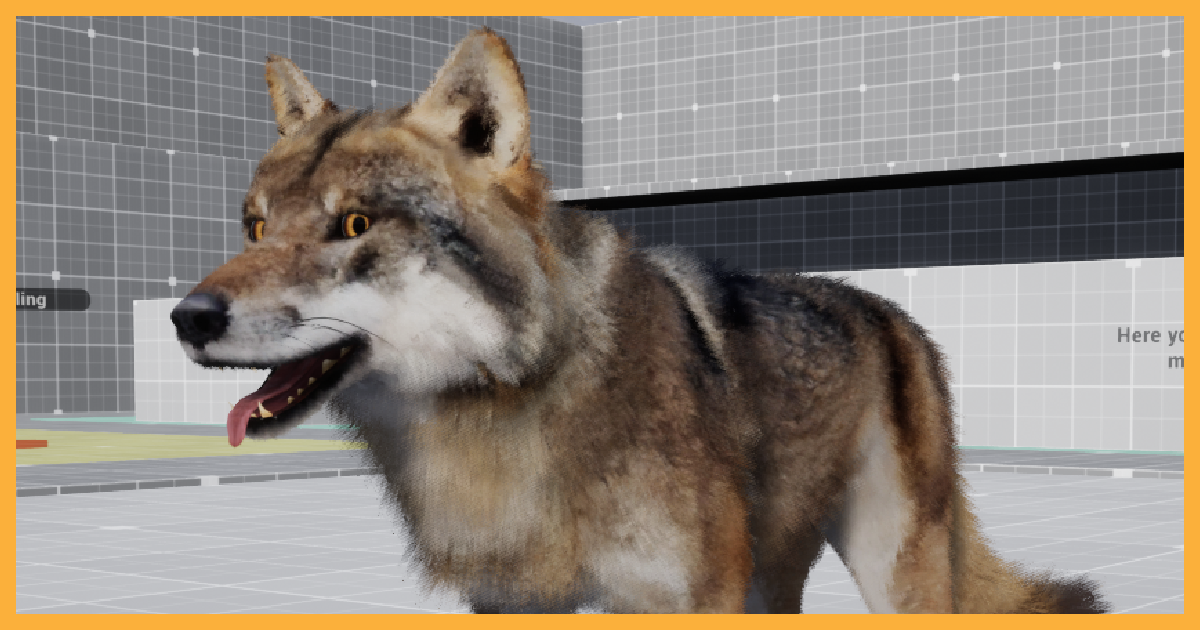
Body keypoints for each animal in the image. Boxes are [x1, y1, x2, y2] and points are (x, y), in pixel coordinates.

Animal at [170, 29, 1108, 614]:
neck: (515, 413)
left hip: (889, 570)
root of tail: (891, 312)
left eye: (355, 224)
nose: (186, 317)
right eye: (255, 227)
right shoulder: (515, 601)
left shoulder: (688, 597)